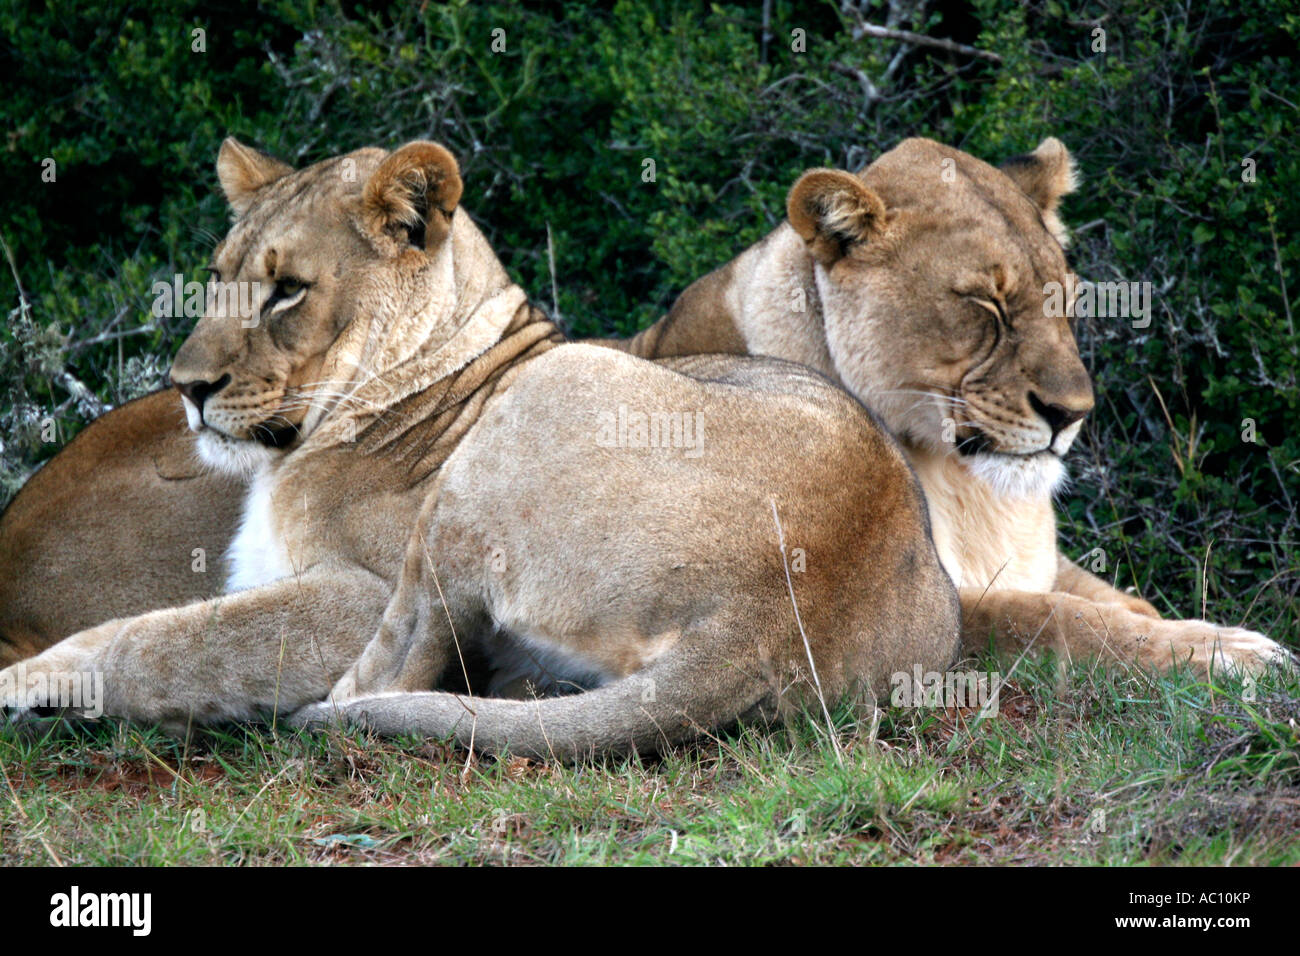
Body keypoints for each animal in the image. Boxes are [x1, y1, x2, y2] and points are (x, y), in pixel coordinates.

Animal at [0, 138, 959, 758]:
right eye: (219, 277)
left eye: (287, 291)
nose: (186, 386)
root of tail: (771, 617)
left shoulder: (356, 587)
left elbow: (166, 638)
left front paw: (35, 685)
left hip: (523, 427)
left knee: (393, 670)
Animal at [601, 137, 1289, 675]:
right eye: (986, 305)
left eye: (1066, 299)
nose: (1072, 413)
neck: (970, 487)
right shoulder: (936, 602)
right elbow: (1058, 618)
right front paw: (1233, 655)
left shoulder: (1047, 561)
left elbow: (1123, 600)